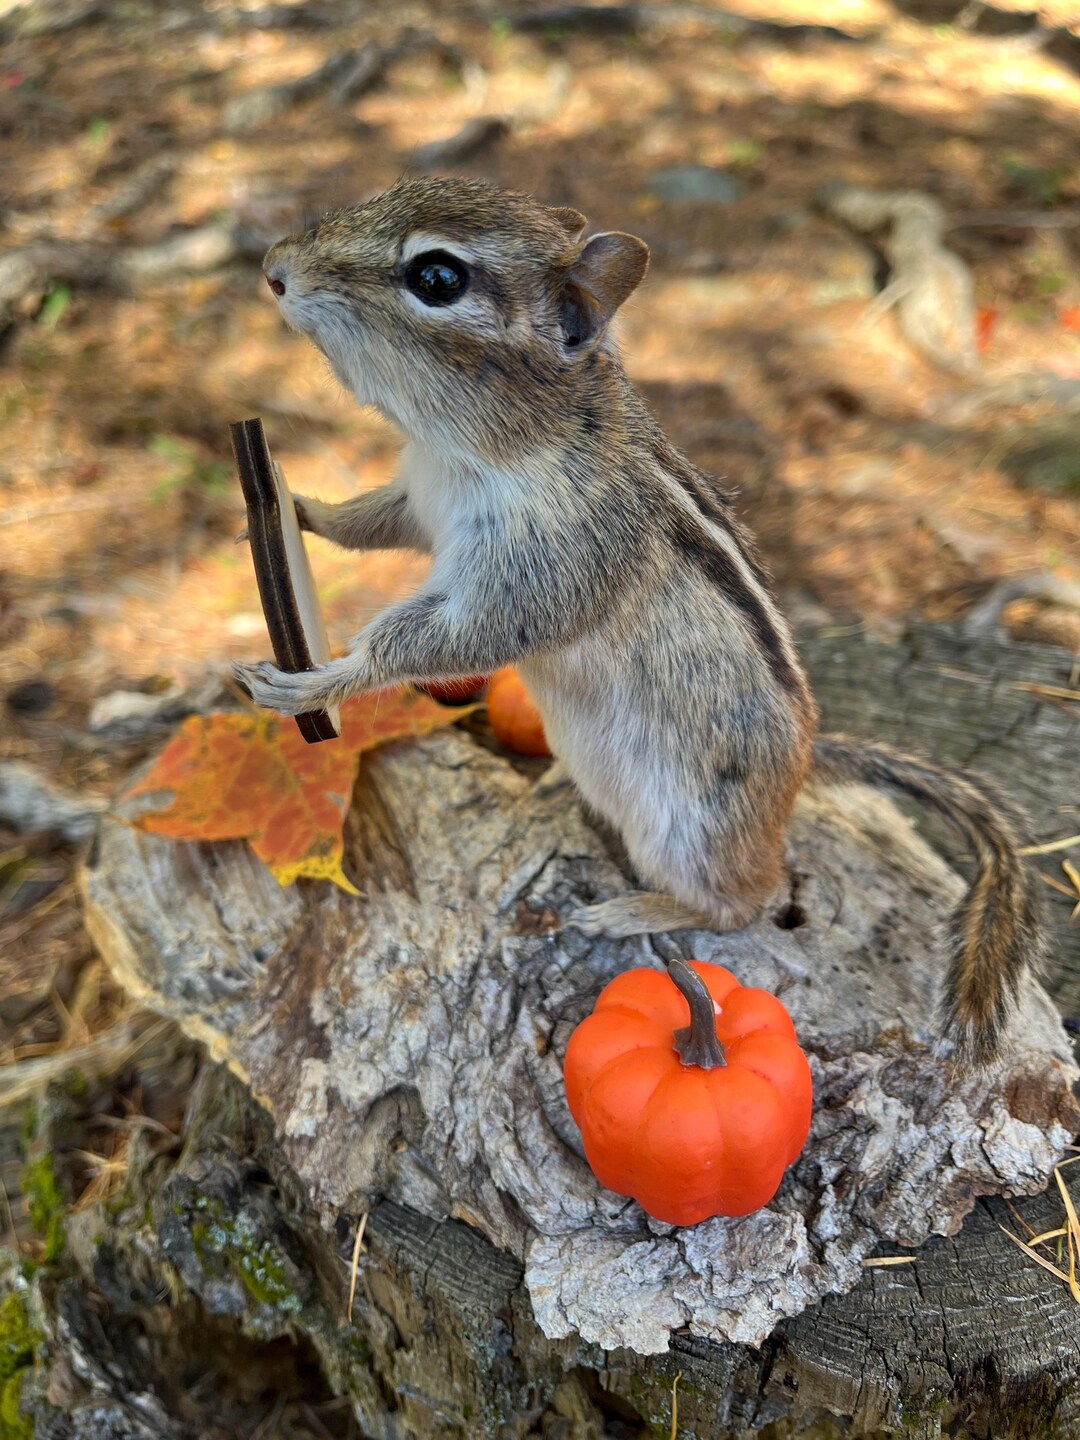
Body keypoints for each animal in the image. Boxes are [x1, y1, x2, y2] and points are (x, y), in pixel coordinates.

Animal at [234, 176, 1041, 1068]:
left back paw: (634, 911)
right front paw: (294, 508)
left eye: (437, 278)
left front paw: (321, 680)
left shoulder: (550, 568)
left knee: (746, 900)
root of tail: (801, 768)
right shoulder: (419, 499)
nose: (273, 269)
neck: (466, 449)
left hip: (692, 830)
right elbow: (367, 523)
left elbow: (449, 641)